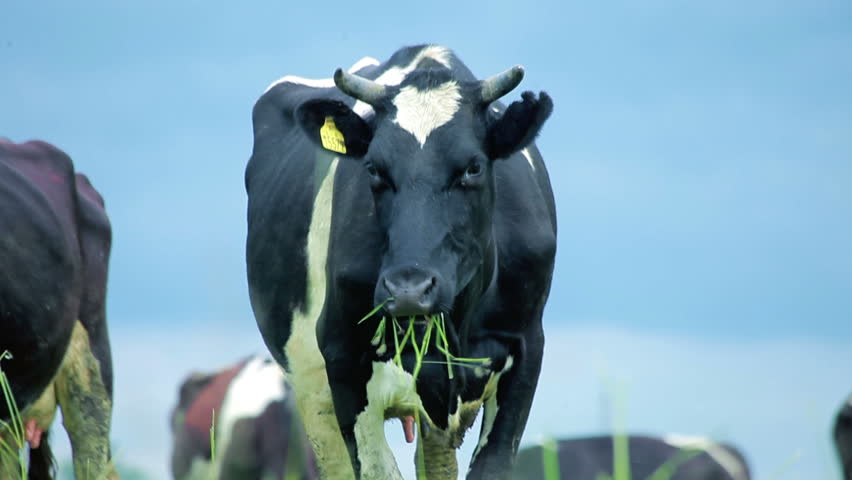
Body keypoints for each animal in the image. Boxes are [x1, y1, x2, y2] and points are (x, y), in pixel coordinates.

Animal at [245, 44, 555, 479]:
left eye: (473, 167)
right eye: (374, 169)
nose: (409, 289)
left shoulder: (526, 346)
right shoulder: (343, 359)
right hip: (311, 392)